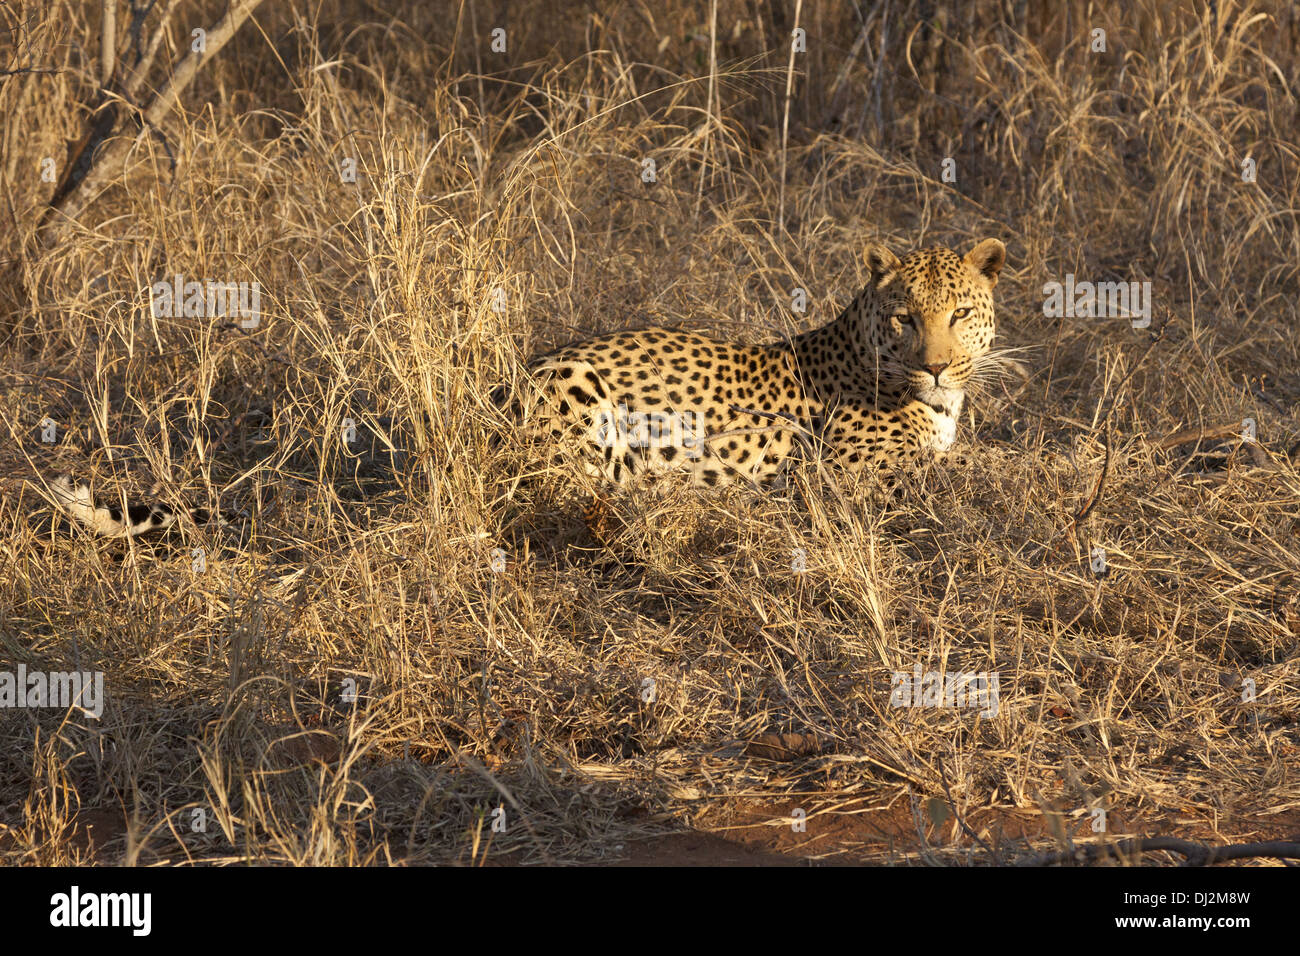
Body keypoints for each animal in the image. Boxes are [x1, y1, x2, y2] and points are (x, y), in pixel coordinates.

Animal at [47, 237, 1005, 536]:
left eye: (960, 312)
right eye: (904, 317)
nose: (936, 362)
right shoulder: (852, 470)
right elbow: (968, 471)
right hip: (582, 399)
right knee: (565, 495)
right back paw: (679, 500)